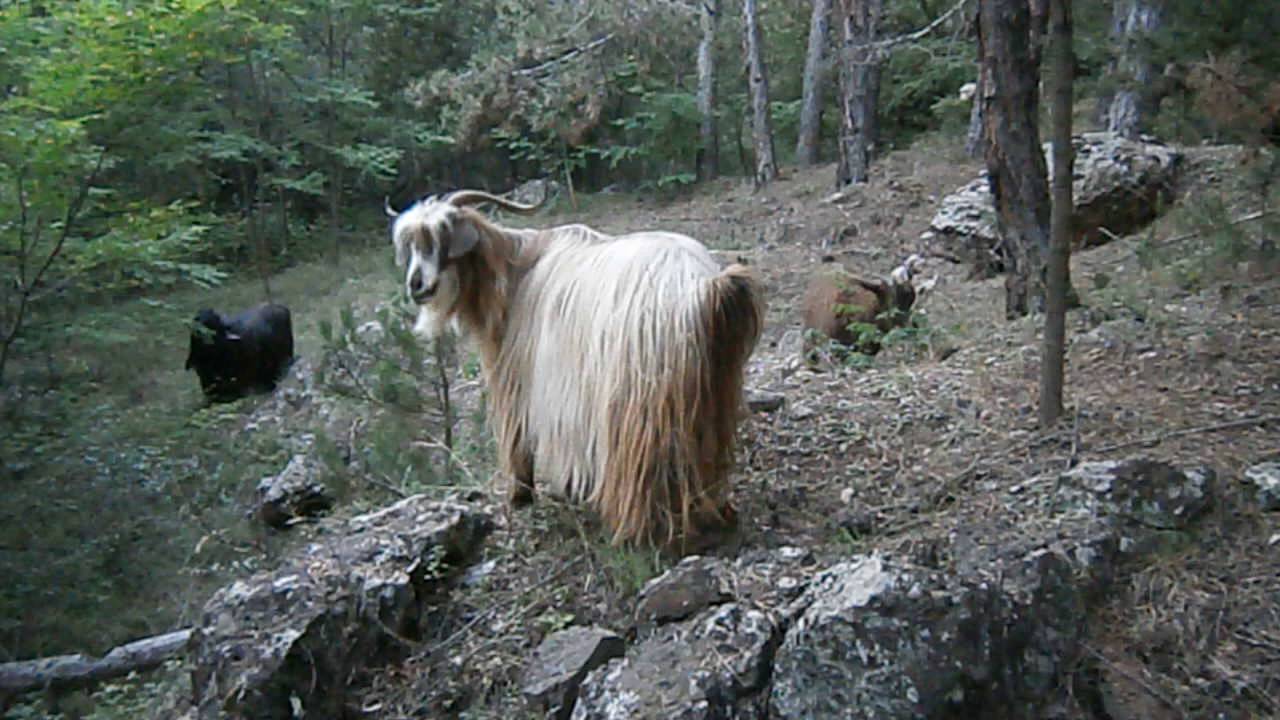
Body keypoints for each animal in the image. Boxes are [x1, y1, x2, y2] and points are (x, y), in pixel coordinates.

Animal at [385, 189, 766, 551]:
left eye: (441, 236)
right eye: (411, 244)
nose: (416, 286)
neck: (516, 274)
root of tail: (704, 288)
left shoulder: (519, 379)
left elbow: (519, 439)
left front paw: (521, 496)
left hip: (639, 398)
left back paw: (637, 531)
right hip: (715, 382)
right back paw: (715, 513)